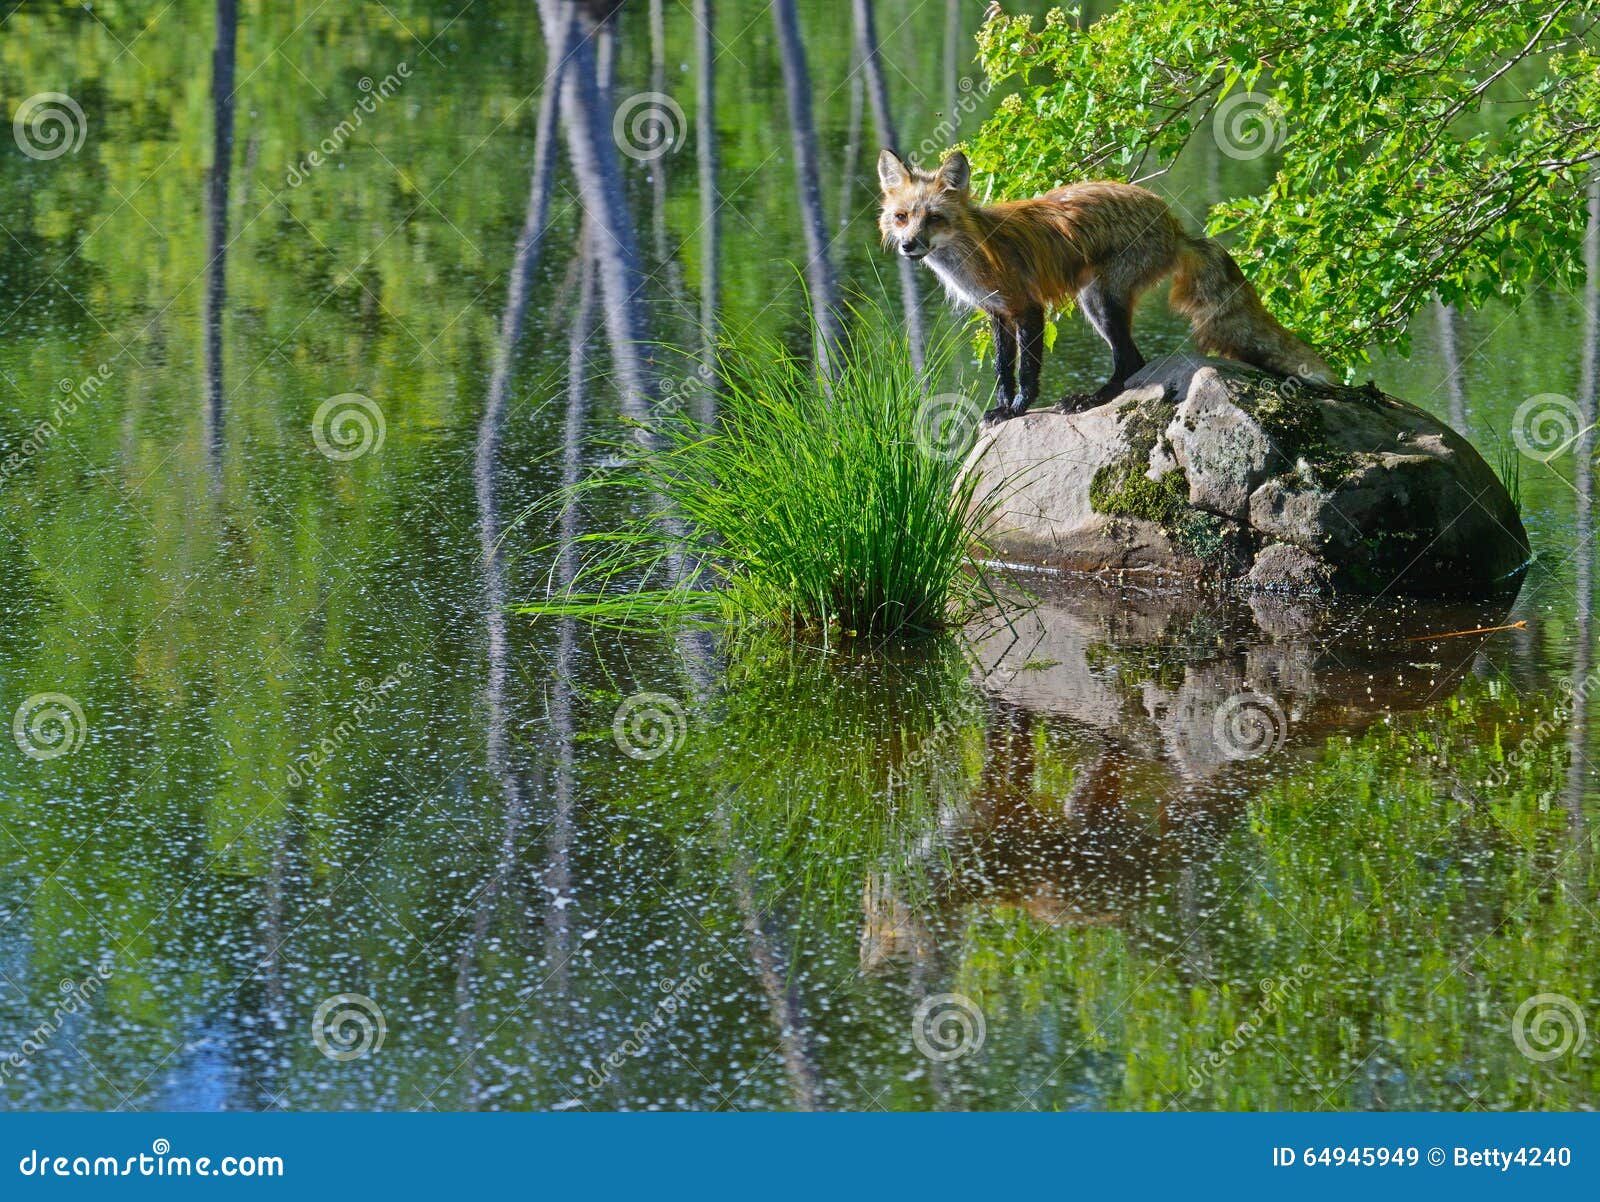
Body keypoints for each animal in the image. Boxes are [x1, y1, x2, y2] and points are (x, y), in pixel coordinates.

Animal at [877, 149, 1331, 421]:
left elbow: (1027, 371)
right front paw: (1000, 409)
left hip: (1102, 299)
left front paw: (1018, 409)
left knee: (1129, 361)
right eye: (902, 217)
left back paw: (1090, 399)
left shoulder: (1028, 308)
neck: (973, 253)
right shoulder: (998, 313)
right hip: (1095, 302)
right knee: (1133, 359)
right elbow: (1002, 370)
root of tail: (1174, 224)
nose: (909, 245)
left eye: (934, 218)